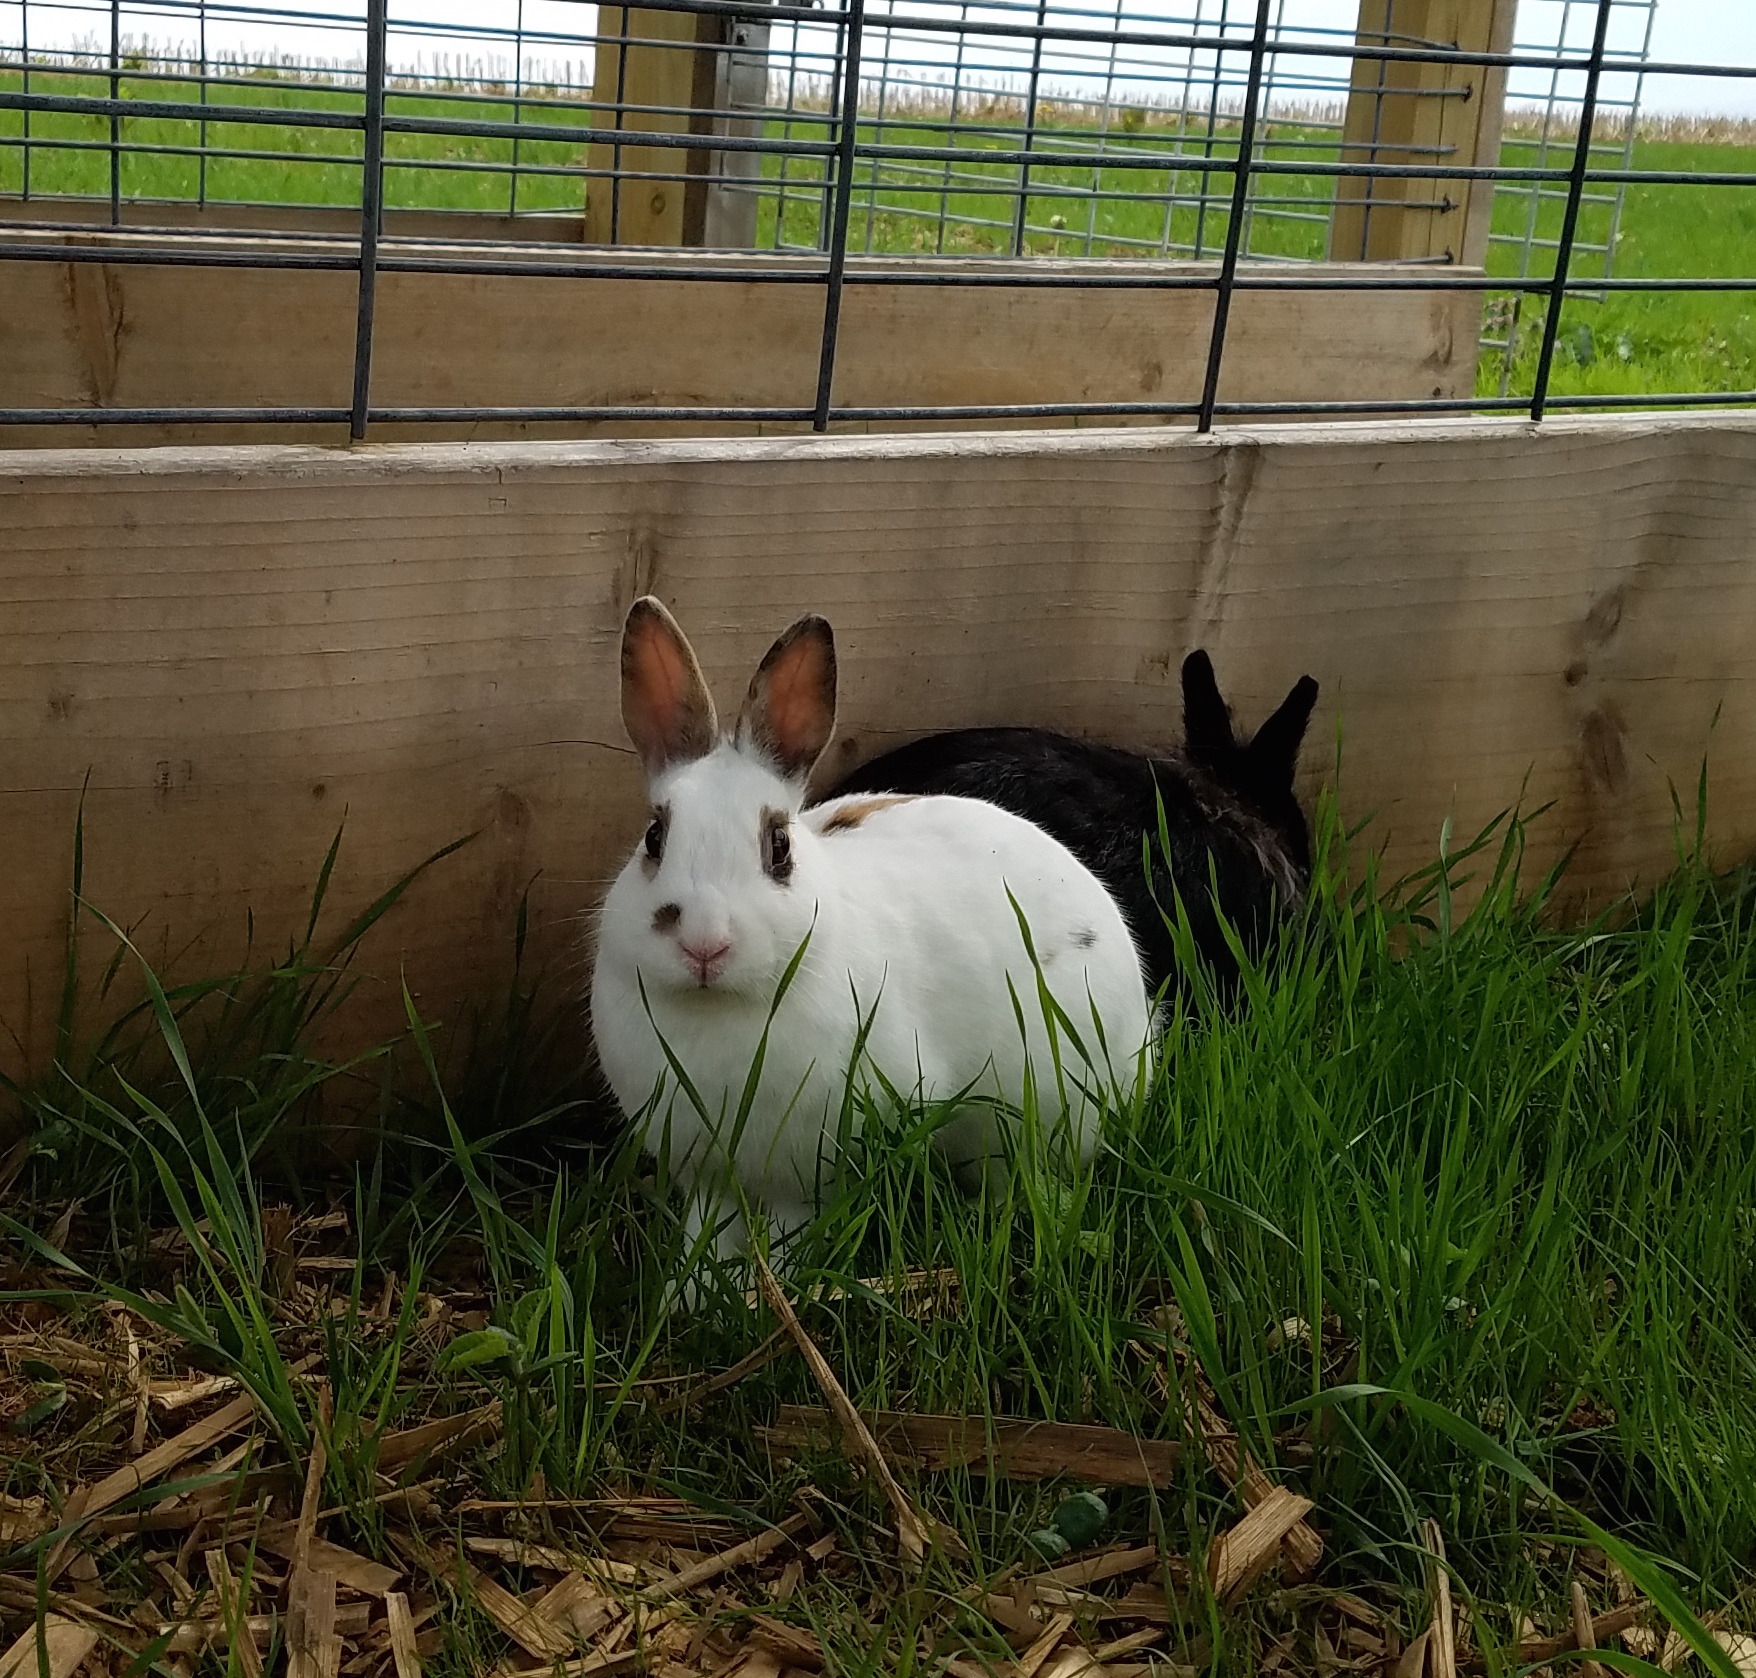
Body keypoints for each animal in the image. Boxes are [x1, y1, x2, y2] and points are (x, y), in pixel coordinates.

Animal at [591, 598, 1155, 1277]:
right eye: (654, 838)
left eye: (779, 847)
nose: (705, 946)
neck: (717, 1006)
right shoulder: (710, 1179)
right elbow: (710, 1235)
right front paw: (695, 1289)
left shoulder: (802, 1179)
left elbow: (788, 1235)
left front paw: (771, 1285)